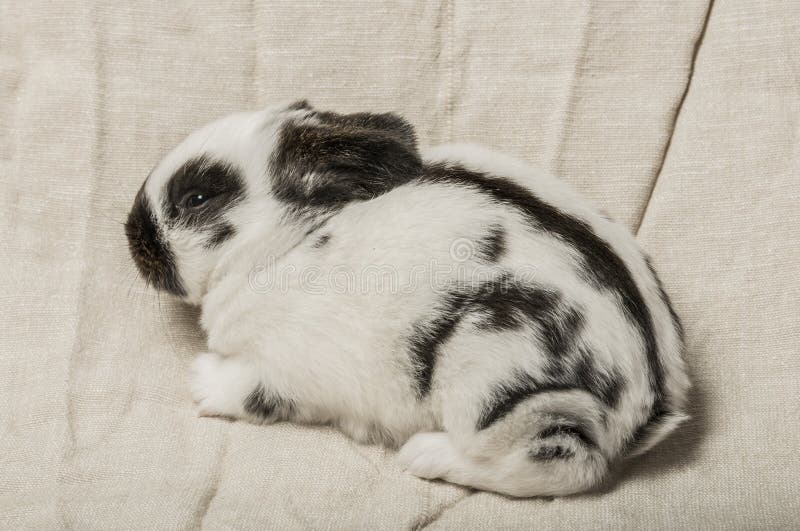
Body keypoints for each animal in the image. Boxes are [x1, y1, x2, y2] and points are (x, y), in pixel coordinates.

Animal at [125, 100, 689, 497]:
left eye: (197, 198)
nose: (132, 237)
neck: (289, 245)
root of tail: (646, 406)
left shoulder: (288, 368)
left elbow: (249, 391)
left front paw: (203, 383)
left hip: (503, 385)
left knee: (564, 469)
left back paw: (426, 455)